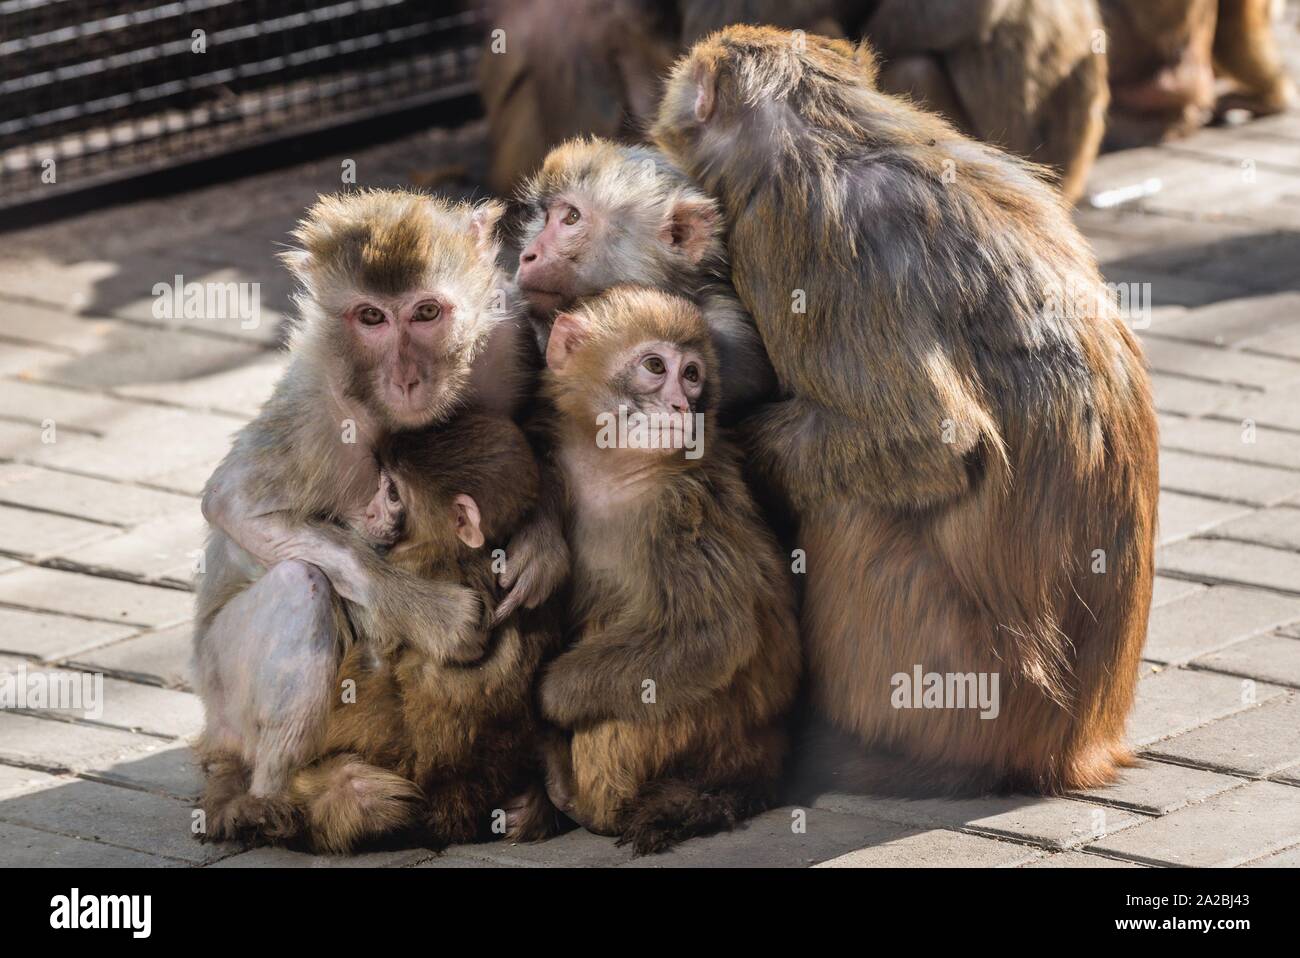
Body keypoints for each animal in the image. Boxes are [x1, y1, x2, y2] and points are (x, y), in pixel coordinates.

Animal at [194, 190, 567, 842]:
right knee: (300, 585)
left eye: (425, 312)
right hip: (222, 689)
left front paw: (543, 545)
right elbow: (233, 504)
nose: (406, 377)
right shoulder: (315, 414)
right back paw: (276, 800)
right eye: (371, 318)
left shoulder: (506, 338)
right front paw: (437, 617)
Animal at [537, 285, 801, 854]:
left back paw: (584, 800)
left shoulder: (684, 502)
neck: (613, 469)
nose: (681, 404)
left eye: (693, 374)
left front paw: (550, 697)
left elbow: (712, 636)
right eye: (656, 366)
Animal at [652, 27, 1160, 796]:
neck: (831, 124)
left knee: (853, 508)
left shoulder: (791, 234)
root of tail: (1076, 744)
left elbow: (932, 442)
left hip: (955, 677)